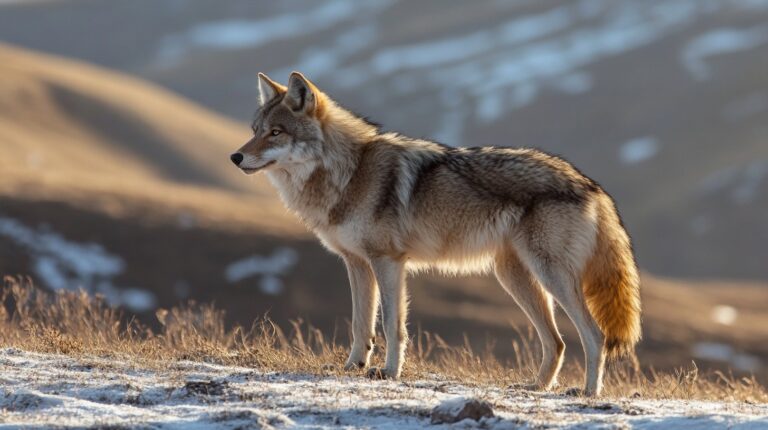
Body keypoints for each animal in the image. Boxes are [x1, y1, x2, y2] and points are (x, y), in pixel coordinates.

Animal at [230, 72, 641, 396]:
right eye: (255, 132)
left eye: (276, 132)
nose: (235, 157)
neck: (350, 171)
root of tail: (592, 185)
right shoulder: (356, 264)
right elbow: (360, 325)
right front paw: (352, 369)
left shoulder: (388, 262)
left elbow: (391, 326)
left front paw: (389, 372)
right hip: (514, 277)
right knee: (555, 342)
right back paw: (535, 387)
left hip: (551, 276)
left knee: (594, 335)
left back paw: (587, 393)